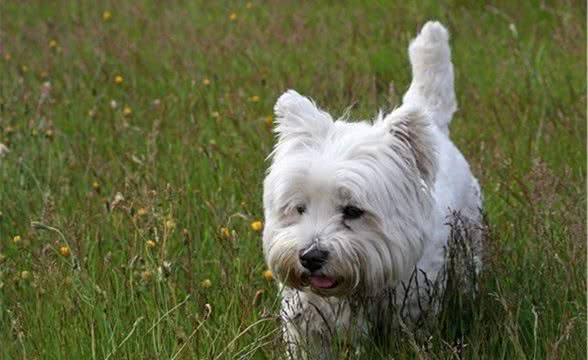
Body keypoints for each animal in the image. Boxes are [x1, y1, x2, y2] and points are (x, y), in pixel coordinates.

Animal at [262, 21, 482, 358]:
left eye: (353, 211)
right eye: (299, 208)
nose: (311, 257)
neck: (352, 291)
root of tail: (430, 120)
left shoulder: (411, 313)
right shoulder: (306, 326)